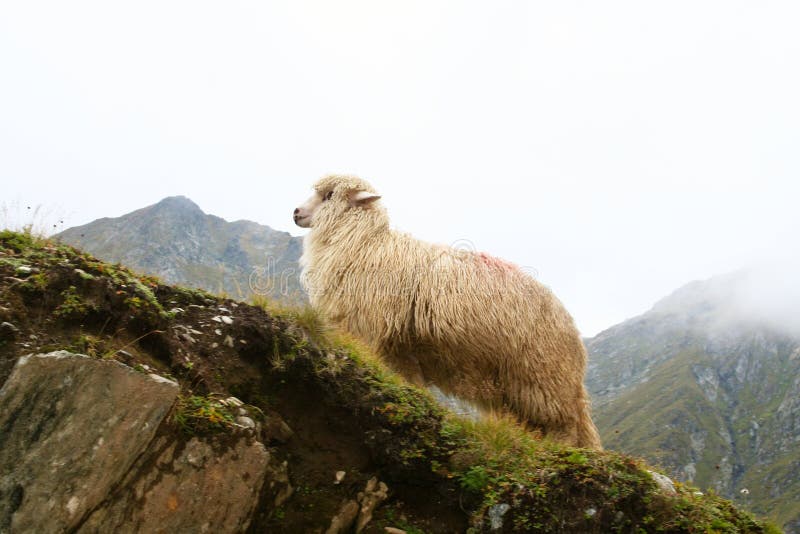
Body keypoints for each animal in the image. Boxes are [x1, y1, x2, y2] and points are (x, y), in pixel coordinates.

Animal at [293, 175, 602, 449]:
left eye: (329, 195)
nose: (296, 213)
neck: (366, 243)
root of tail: (572, 326)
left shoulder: (369, 326)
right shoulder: (400, 346)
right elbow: (409, 380)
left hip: (544, 375)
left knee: (565, 425)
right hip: (518, 384)